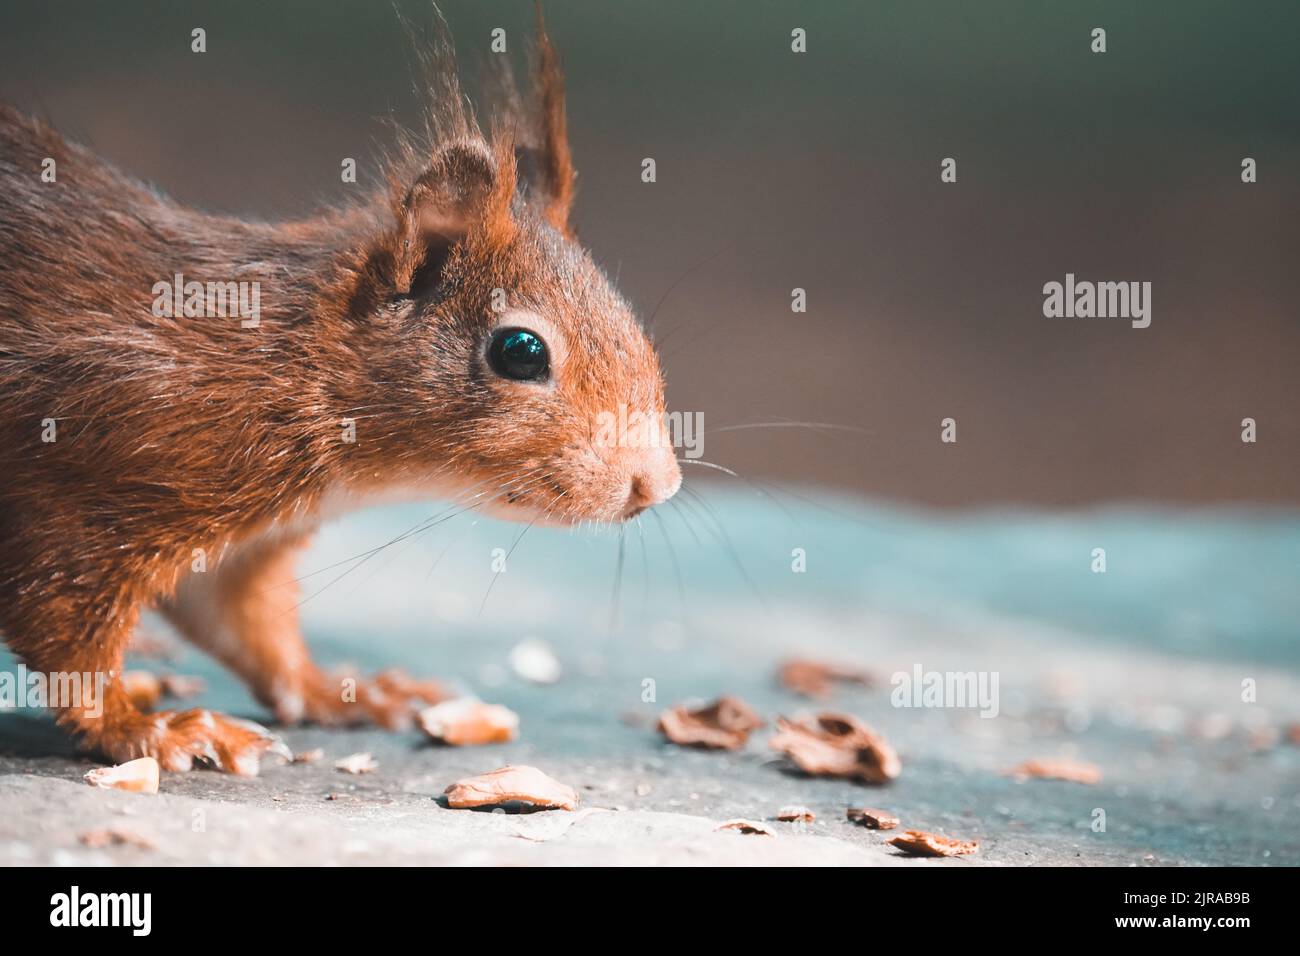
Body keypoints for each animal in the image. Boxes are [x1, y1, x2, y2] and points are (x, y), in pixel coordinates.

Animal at [0, 10, 681, 774]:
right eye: (520, 351)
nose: (657, 484)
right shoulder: (83, 468)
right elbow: (66, 634)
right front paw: (151, 729)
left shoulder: (239, 547)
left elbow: (246, 625)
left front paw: (342, 692)